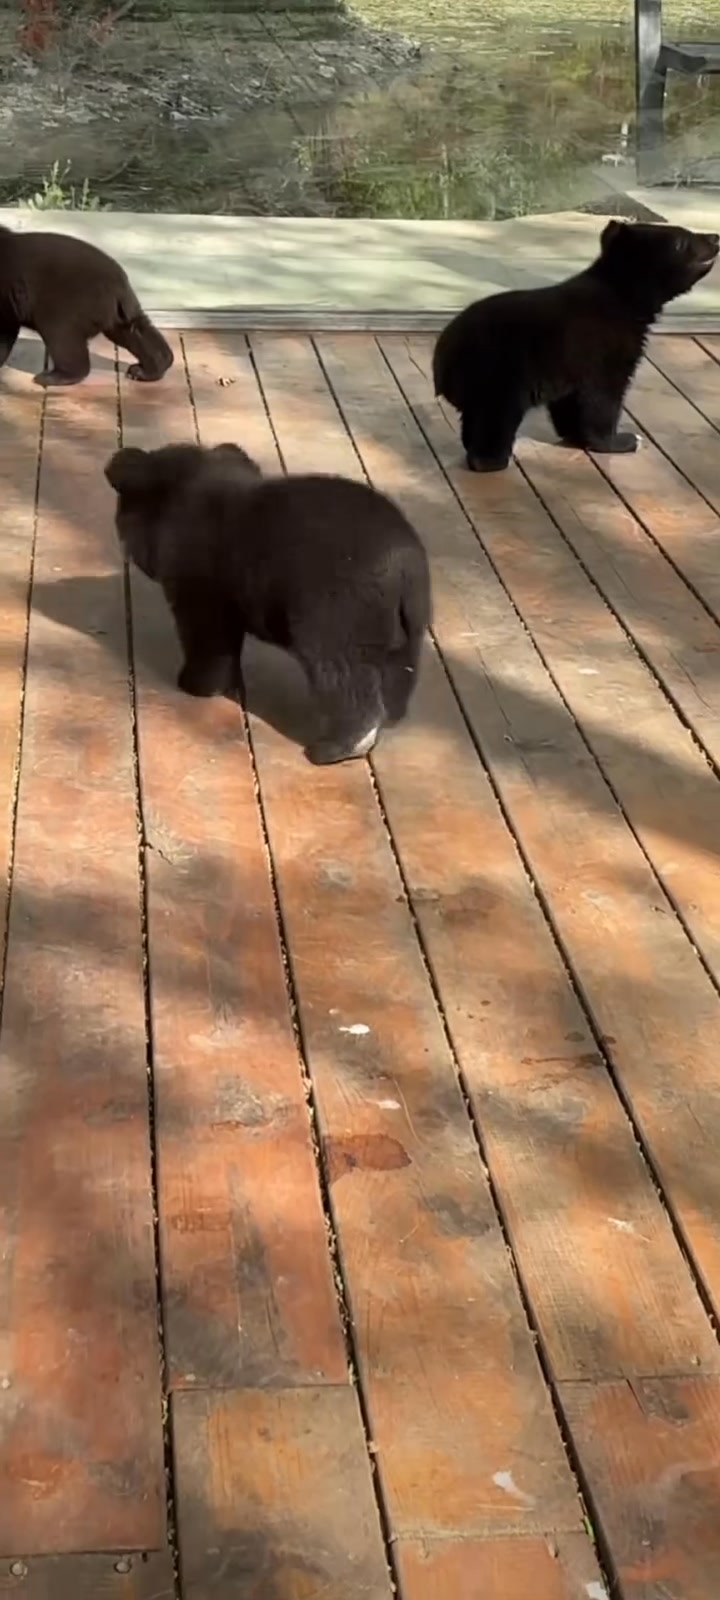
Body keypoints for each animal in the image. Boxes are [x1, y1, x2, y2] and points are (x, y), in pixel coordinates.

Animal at [0, 226, 173, 387]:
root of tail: (118, 284)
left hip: (67, 301)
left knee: (62, 337)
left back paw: (54, 376)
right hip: (116, 311)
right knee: (134, 330)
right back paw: (147, 369)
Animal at [104, 440, 432, 766]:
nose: (126, 548)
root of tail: (406, 563)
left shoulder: (200, 590)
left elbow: (208, 640)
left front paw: (196, 684)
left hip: (337, 616)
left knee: (345, 678)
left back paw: (337, 747)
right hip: (404, 628)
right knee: (397, 671)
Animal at [432, 220, 719, 472]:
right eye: (682, 241)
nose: (715, 237)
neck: (626, 297)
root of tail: (443, 363)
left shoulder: (568, 366)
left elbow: (570, 401)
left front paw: (575, 434)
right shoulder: (601, 347)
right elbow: (602, 396)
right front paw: (623, 440)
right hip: (498, 372)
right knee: (496, 416)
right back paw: (493, 460)